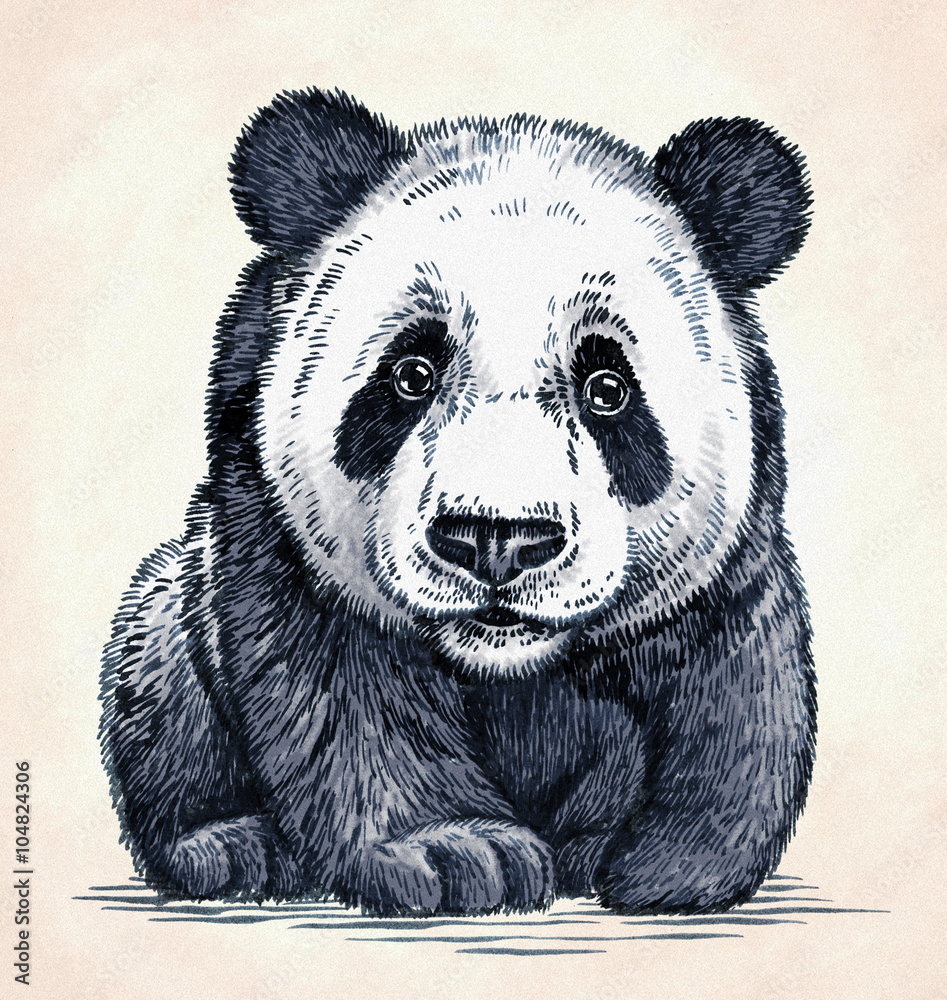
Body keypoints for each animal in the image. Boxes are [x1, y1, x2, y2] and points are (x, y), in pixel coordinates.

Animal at [100, 87, 816, 916]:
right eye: (410, 373)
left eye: (608, 387)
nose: (496, 539)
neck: (503, 663)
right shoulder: (268, 502)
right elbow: (338, 688)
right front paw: (459, 854)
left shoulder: (728, 546)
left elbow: (737, 681)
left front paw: (673, 867)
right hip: (172, 625)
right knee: (161, 682)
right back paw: (231, 846)